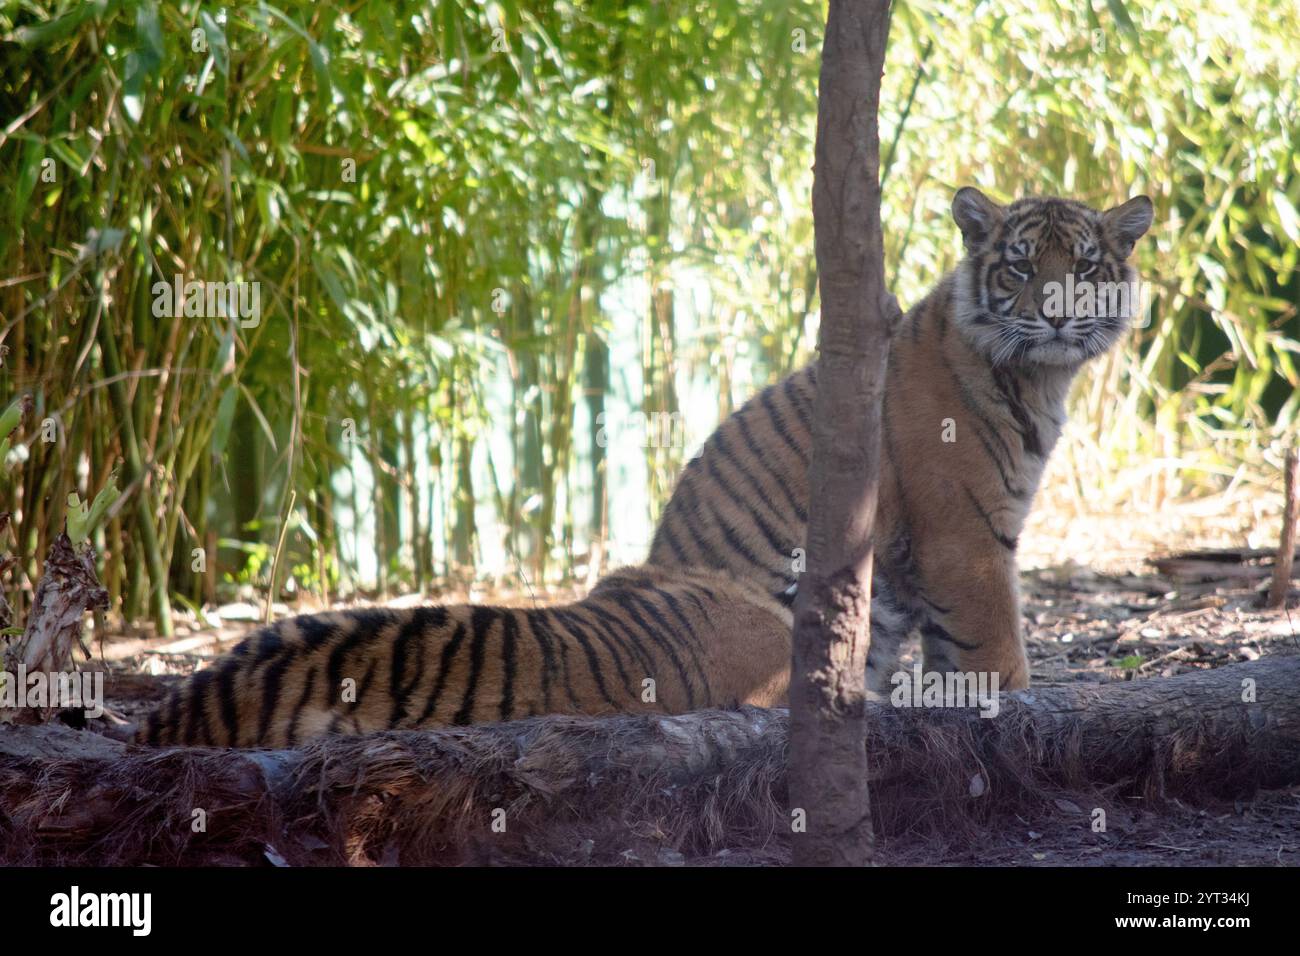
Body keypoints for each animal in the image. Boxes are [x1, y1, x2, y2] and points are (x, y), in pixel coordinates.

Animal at [649, 188, 1153, 693]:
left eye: (1084, 266)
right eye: (1021, 266)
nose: (1058, 315)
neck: (1040, 378)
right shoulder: (964, 533)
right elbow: (995, 648)